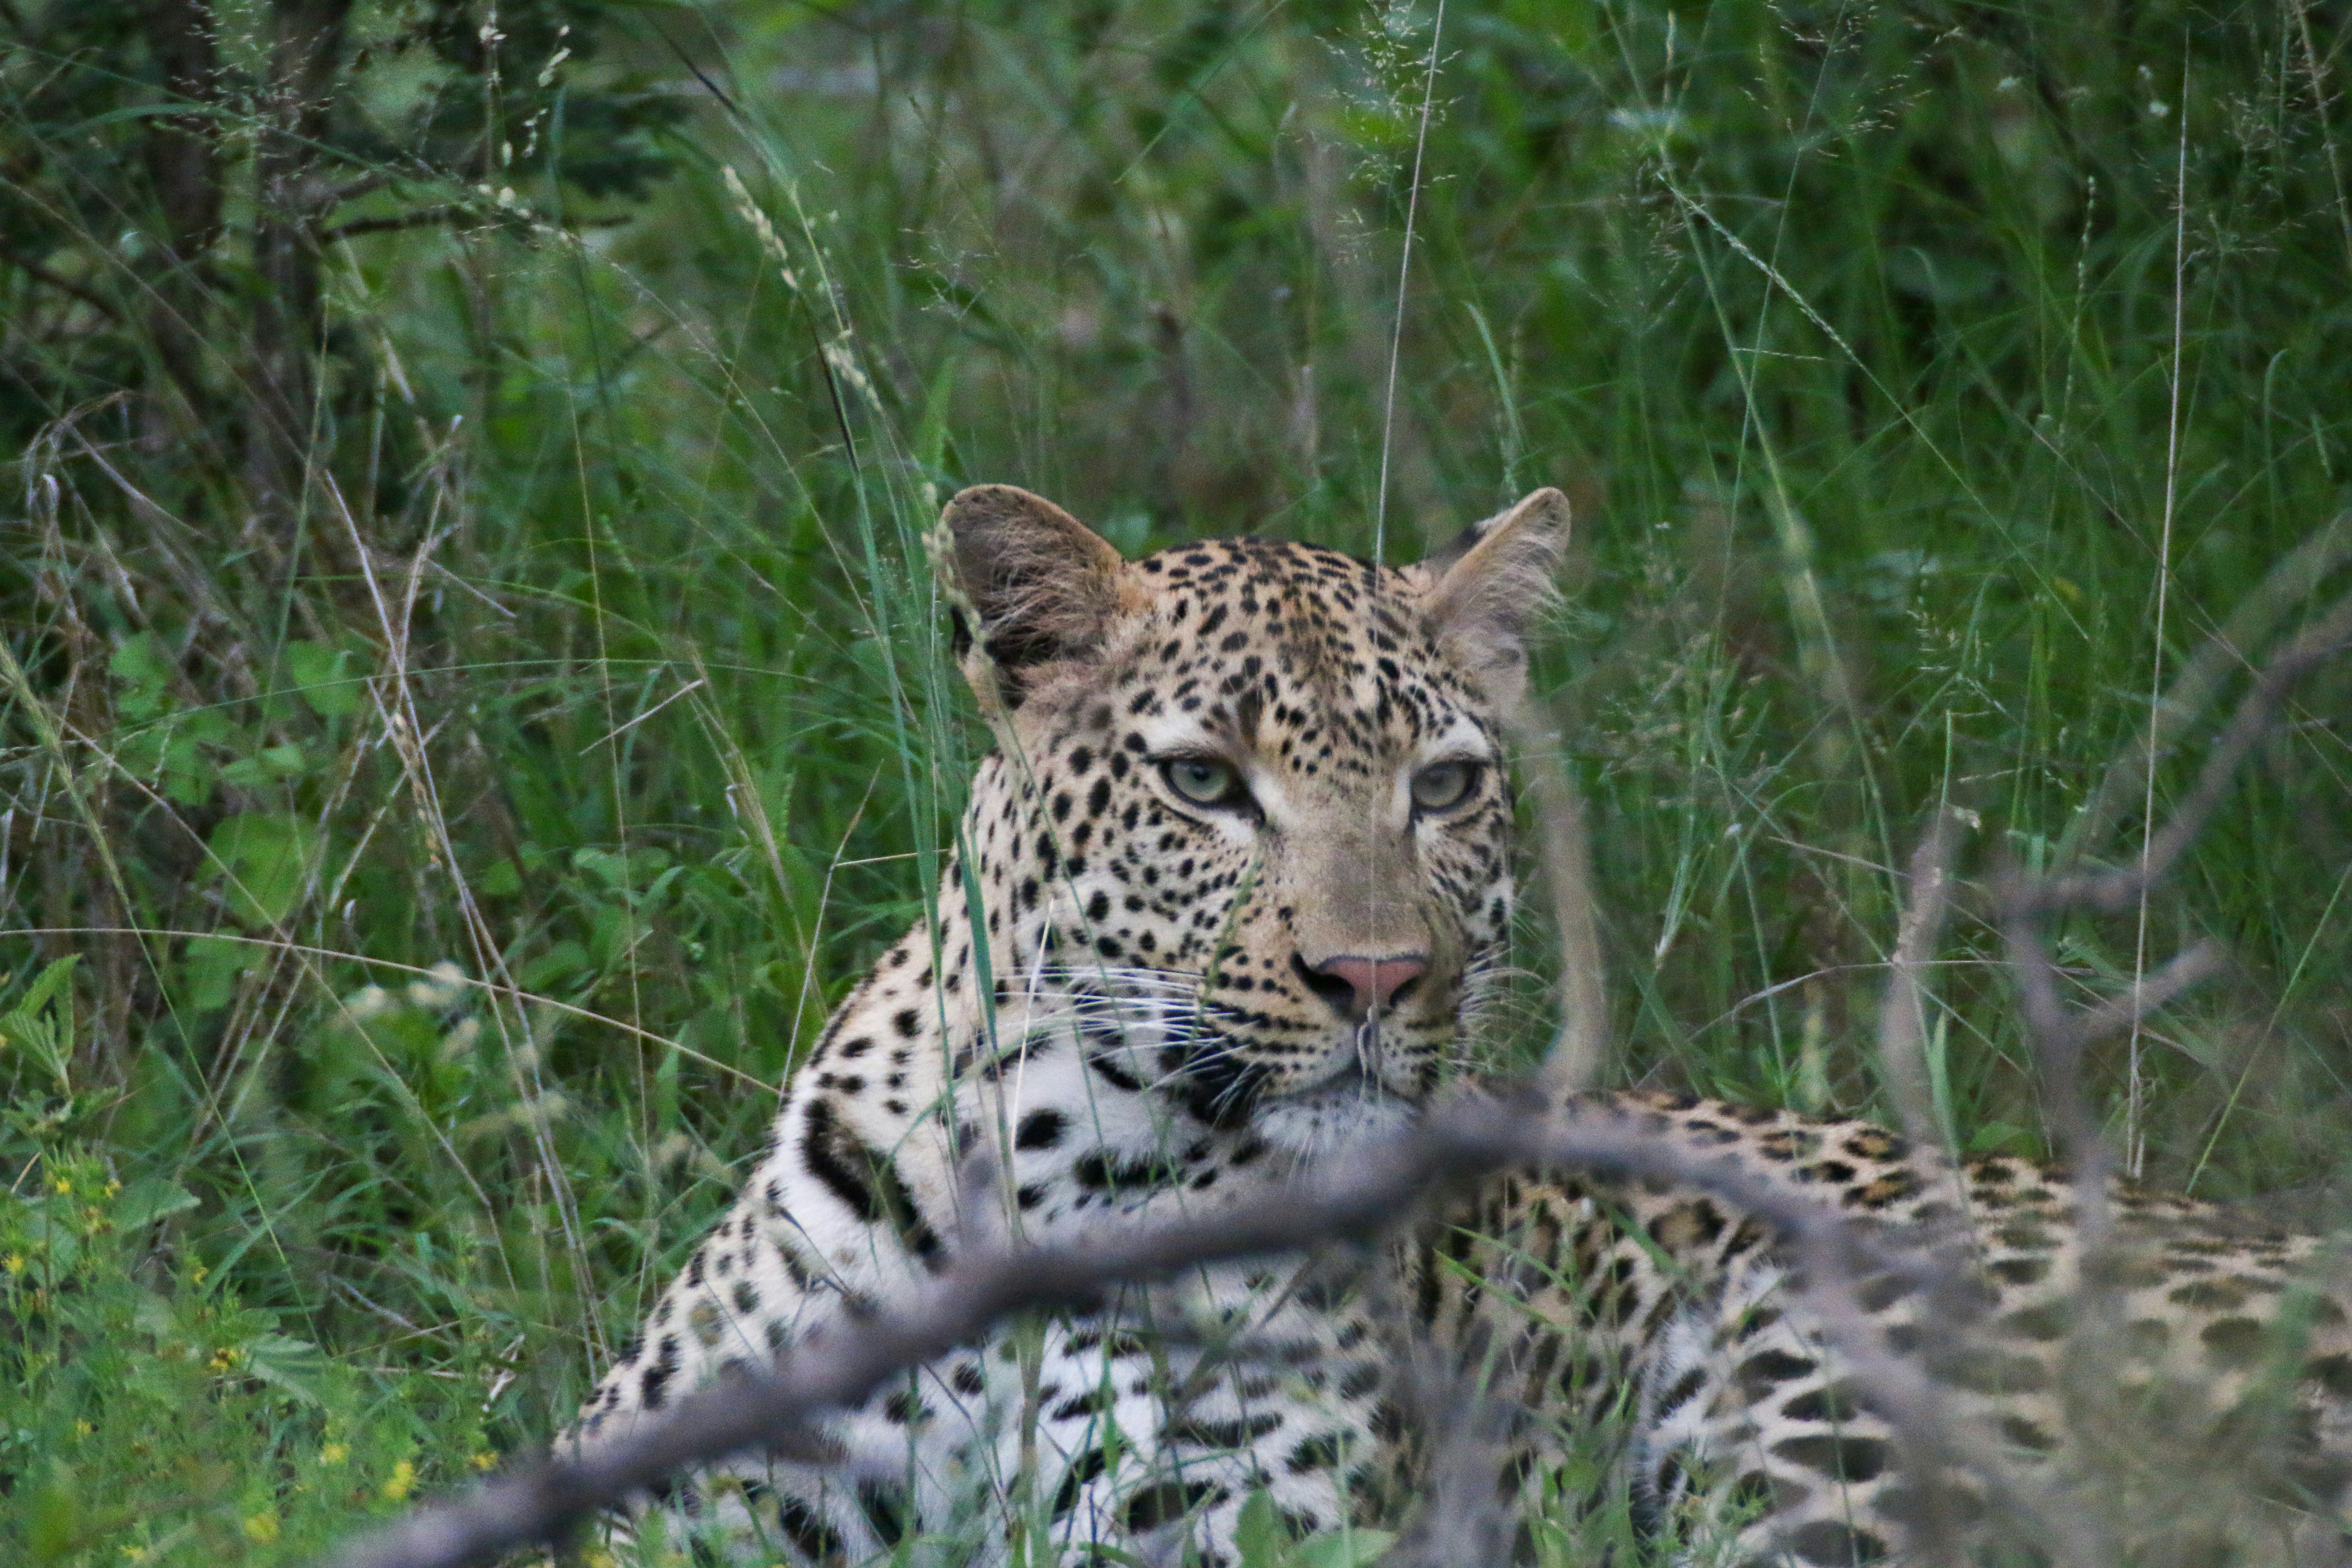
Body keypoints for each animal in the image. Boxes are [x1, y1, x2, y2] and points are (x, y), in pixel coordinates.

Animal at [567, 482, 2352, 1568]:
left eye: (1443, 786)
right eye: (1201, 780)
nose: (1374, 978)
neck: (1043, 1158)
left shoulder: (1222, 1525)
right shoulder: (670, 1494)